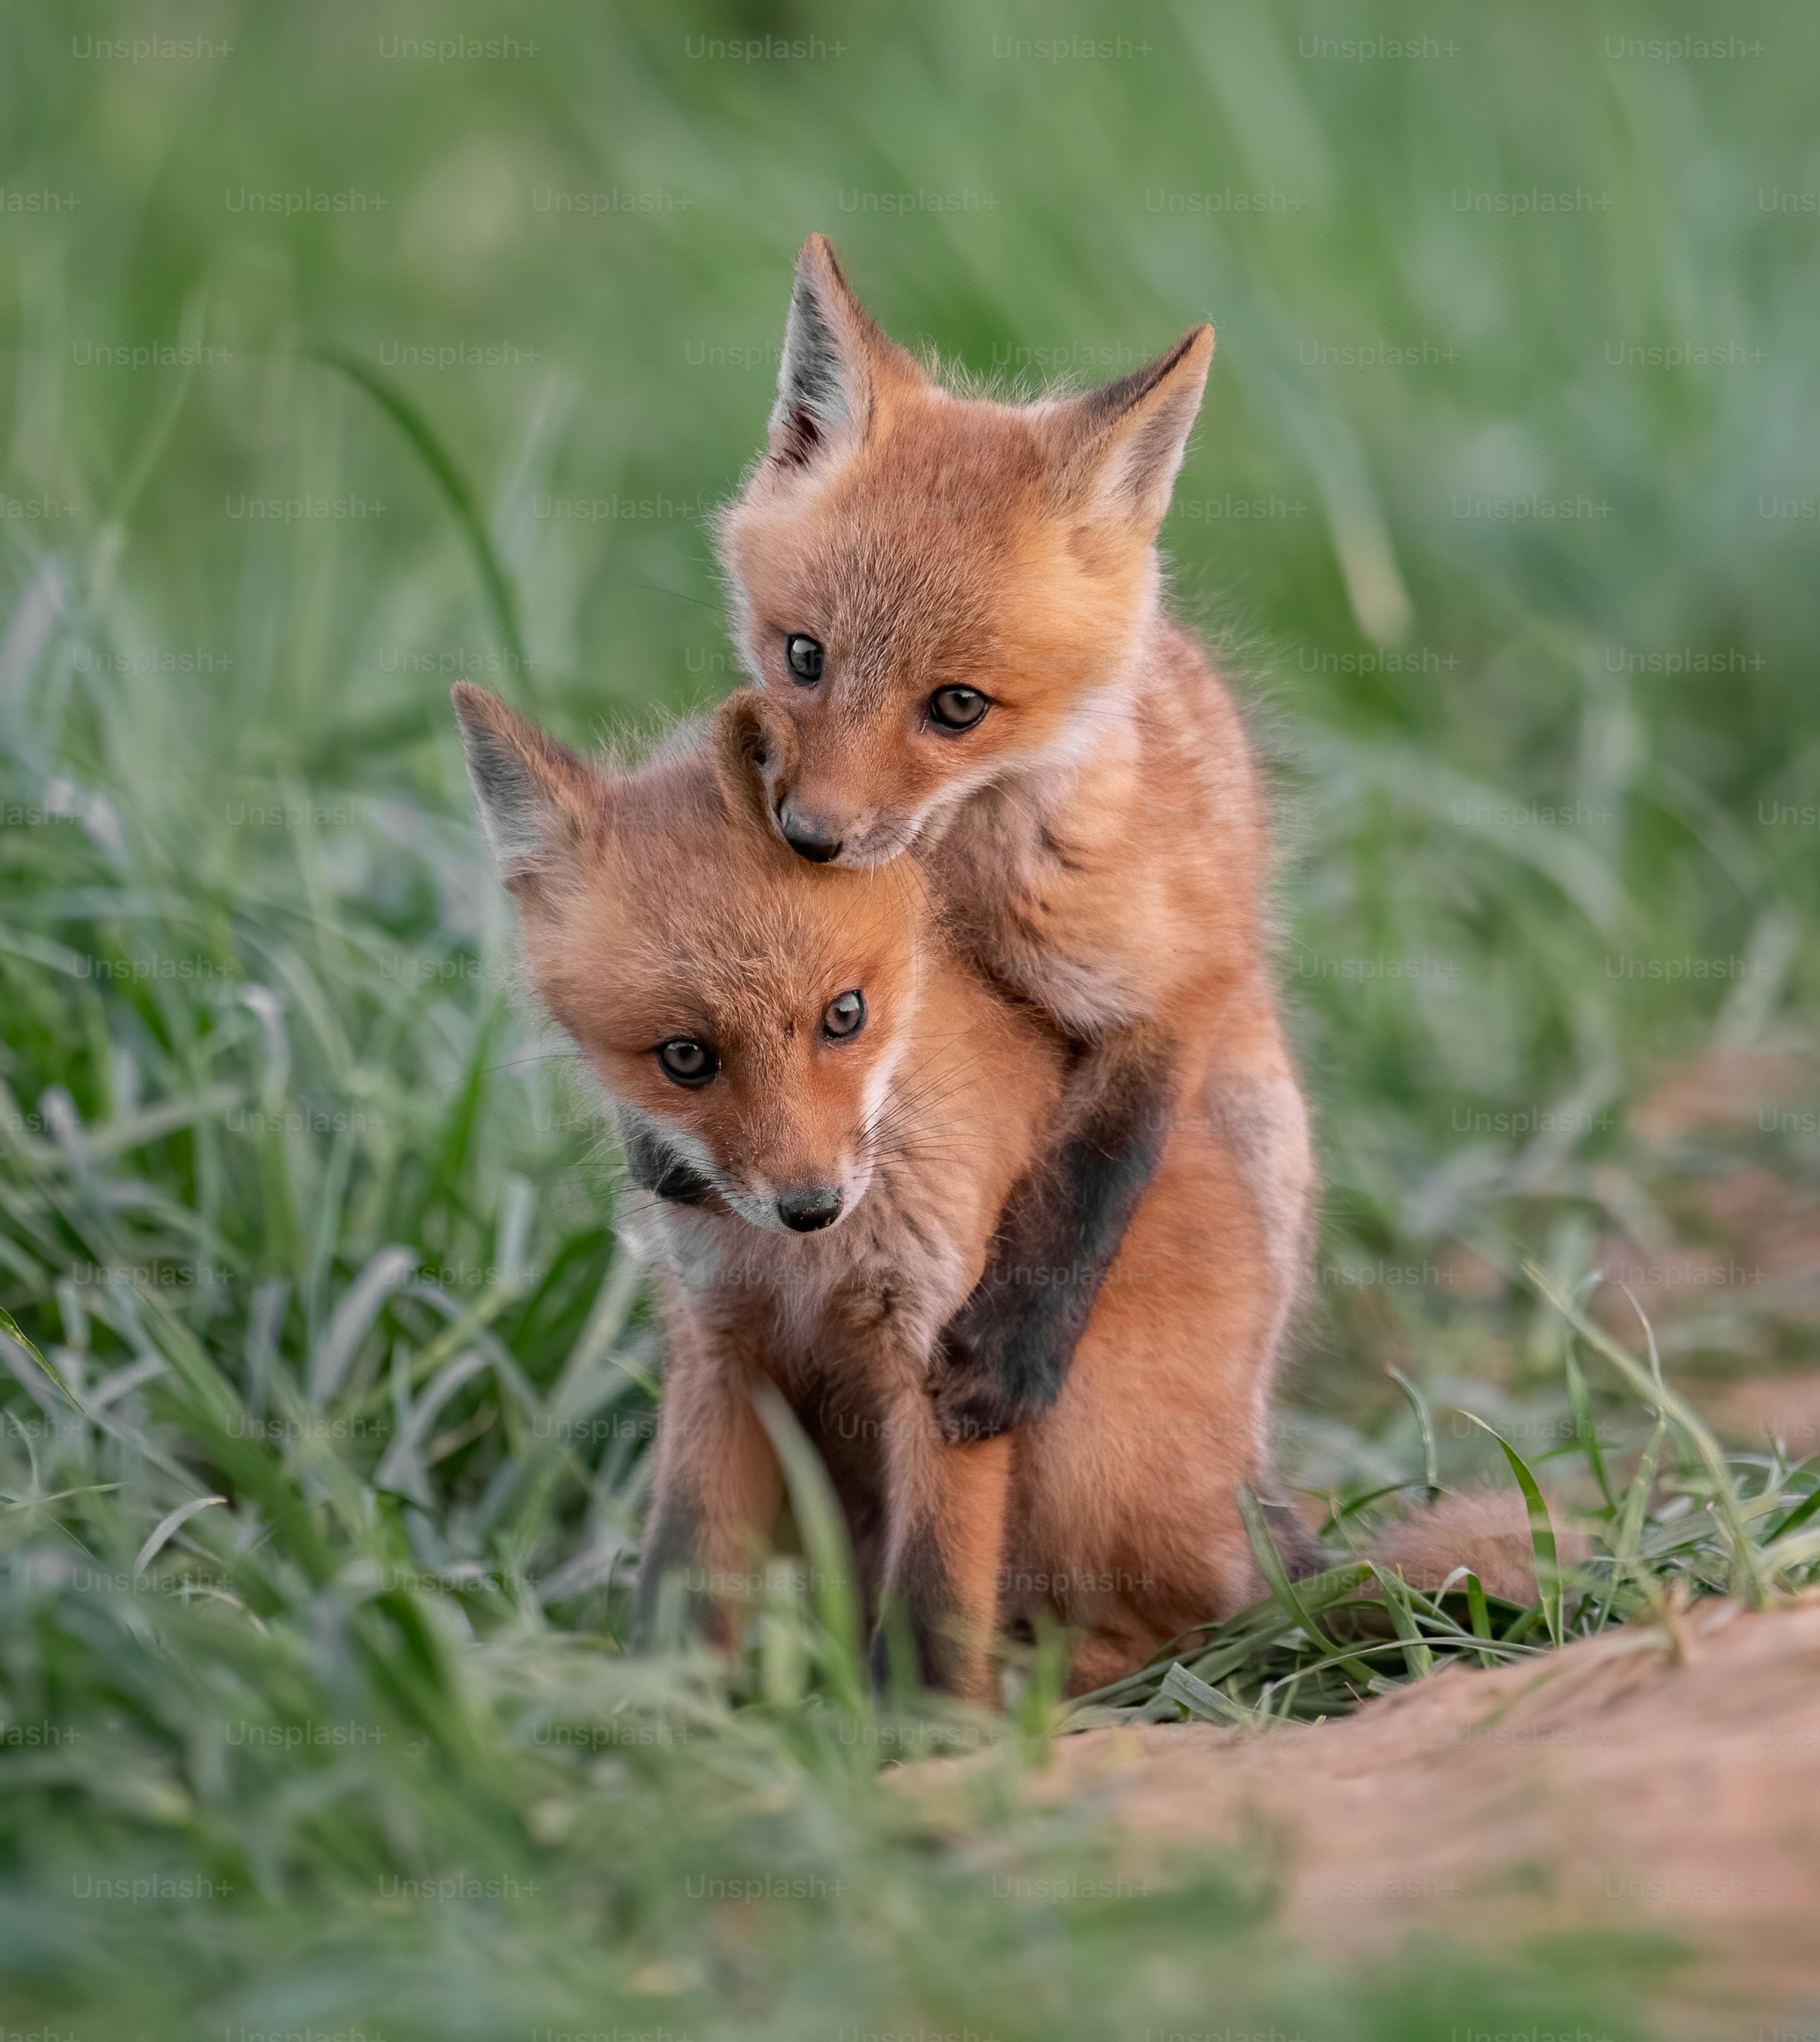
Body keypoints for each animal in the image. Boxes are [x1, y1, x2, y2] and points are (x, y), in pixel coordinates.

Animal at [452, 680, 1307, 1699]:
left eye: (845, 1015)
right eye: (685, 1058)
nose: (811, 1205)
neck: (811, 1271)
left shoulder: (934, 1360)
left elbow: (934, 1597)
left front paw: (921, 1726)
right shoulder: (720, 1350)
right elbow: (683, 1568)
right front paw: (667, 1712)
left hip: (1079, 1446)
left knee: (1195, 1625)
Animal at [712, 235, 1315, 1465]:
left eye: (957, 708)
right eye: (802, 656)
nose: (810, 837)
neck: (964, 881)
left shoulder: (1175, 980)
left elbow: (1095, 1175)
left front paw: (1009, 1357)